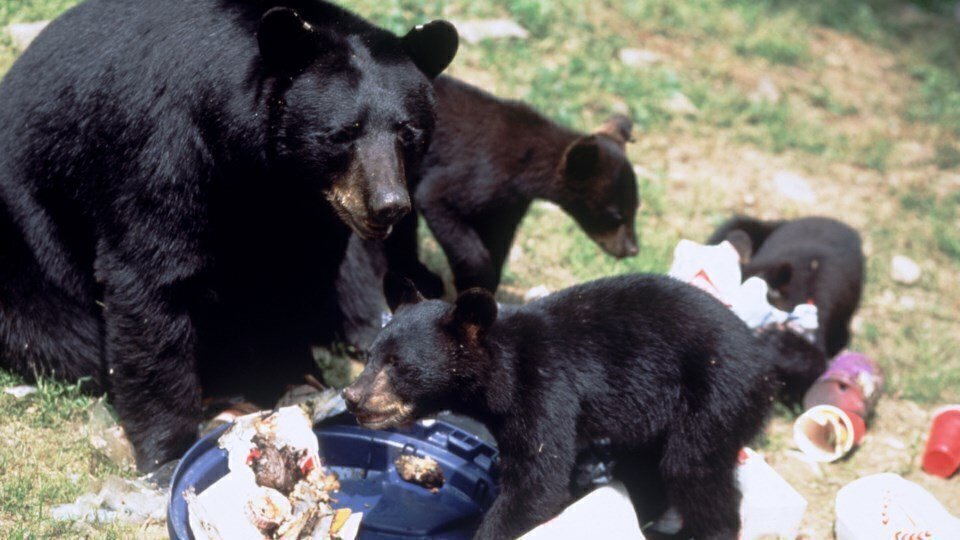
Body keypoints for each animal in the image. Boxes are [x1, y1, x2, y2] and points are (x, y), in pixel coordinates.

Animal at [0, 0, 457, 471]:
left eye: (408, 132)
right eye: (344, 133)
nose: (389, 204)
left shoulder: (311, 209)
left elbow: (293, 277)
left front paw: (294, 378)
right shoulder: (164, 151)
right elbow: (149, 281)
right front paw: (168, 450)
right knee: (62, 333)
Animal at [342, 273, 778, 539]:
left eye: (400, 365)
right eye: (371, 354)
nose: (353, 396)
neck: (503, 372)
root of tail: (766, 371)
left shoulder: (545, 391)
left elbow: (539, 482)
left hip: (714, 398)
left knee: (692, 469)